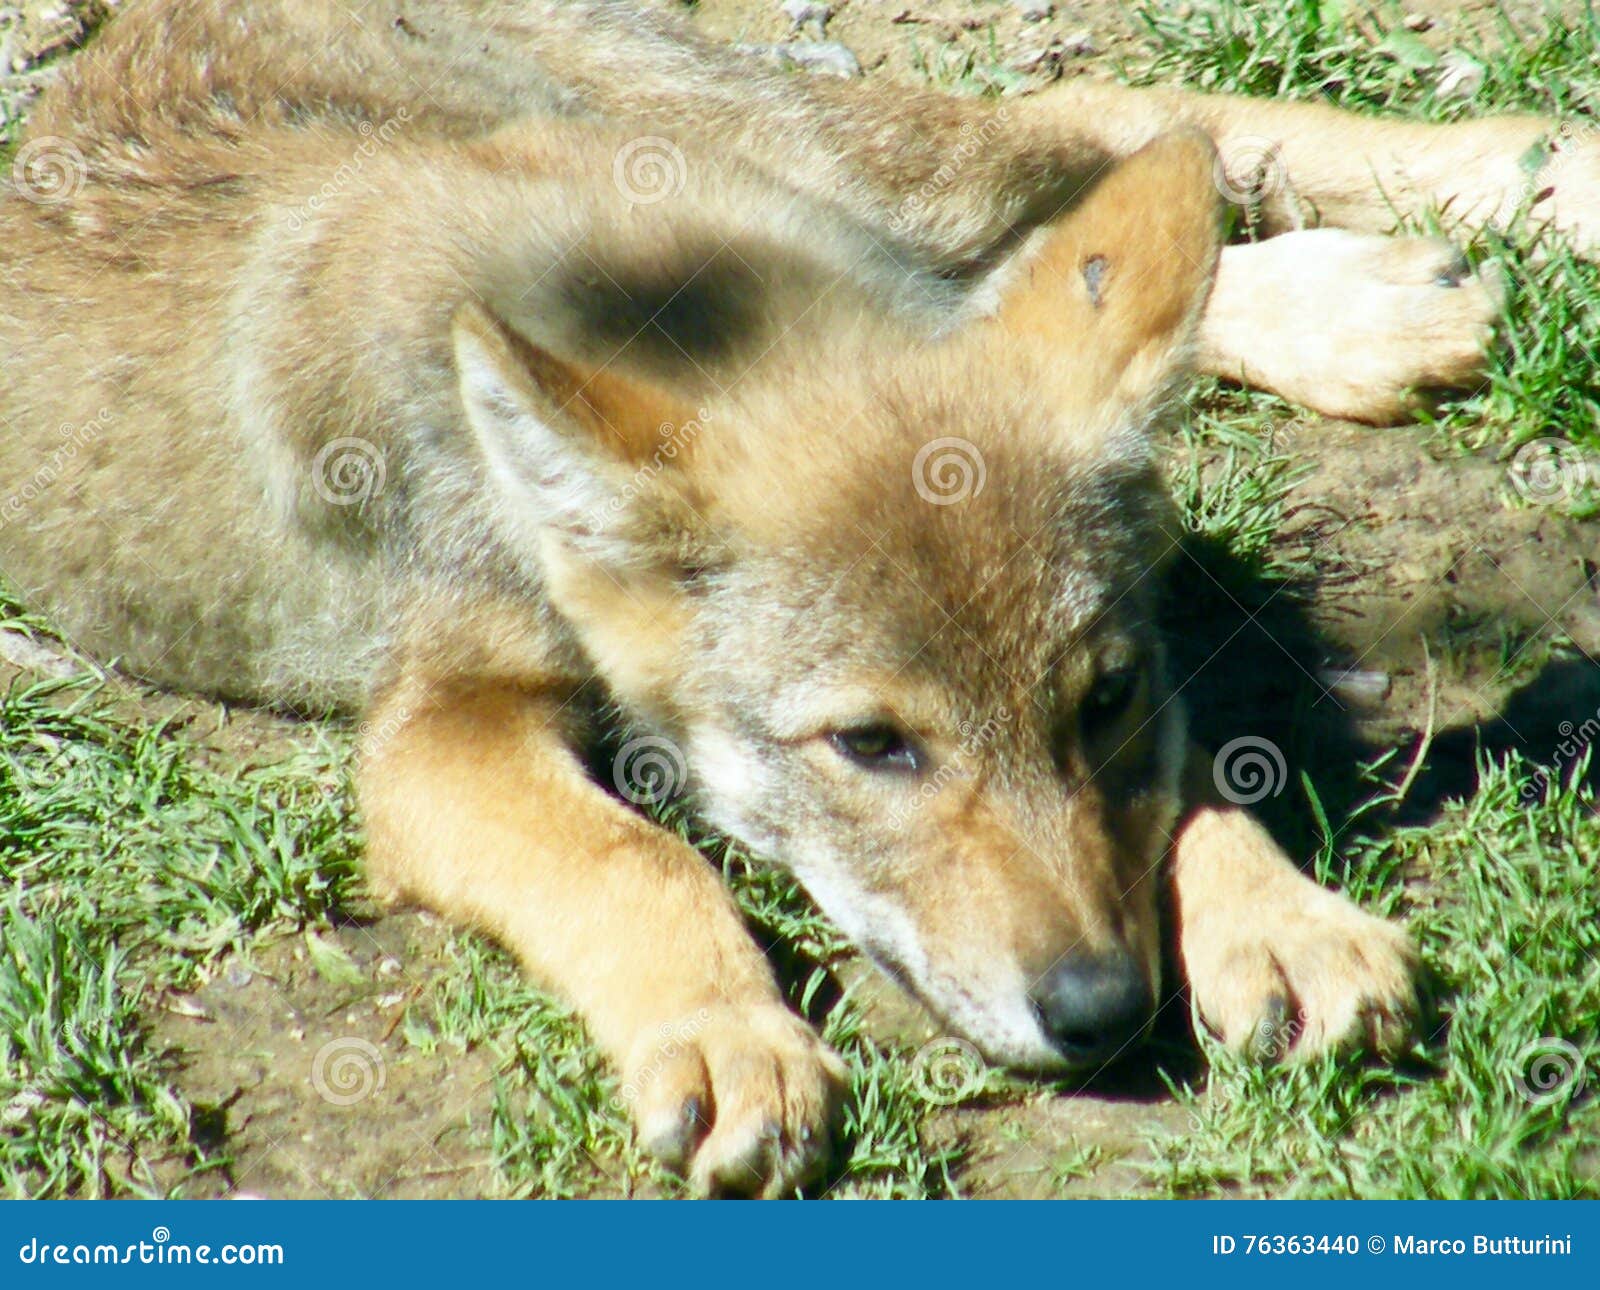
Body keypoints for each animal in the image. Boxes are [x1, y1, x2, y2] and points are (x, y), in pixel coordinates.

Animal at [2, 0, 1594, 1196]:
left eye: (1105, 698)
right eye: (871, 747)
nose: (1099, 1011)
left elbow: (1189, 789)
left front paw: (1282, 917)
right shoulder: (440, 728)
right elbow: (638, 861)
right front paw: (725, 1033)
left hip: (862, 158)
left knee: (1134, 124)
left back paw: (1510, 200)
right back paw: (1387, 303)